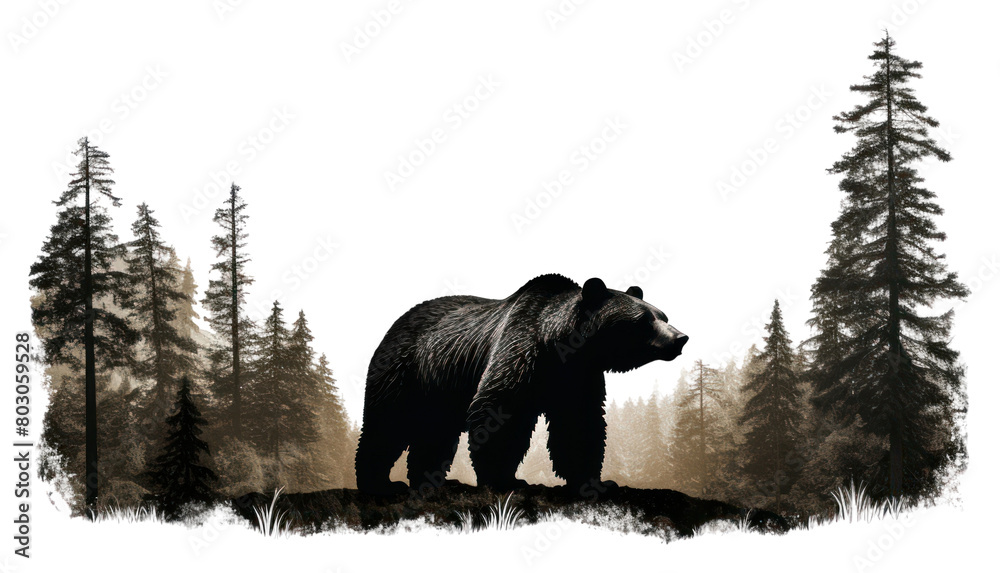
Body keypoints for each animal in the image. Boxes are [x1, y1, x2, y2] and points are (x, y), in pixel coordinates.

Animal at [354, 274, 687, 495]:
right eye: (644, 320)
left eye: (663, 314)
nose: (680, 337)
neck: (559, 345)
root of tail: (396, 322)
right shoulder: (519, 351)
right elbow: (498, 411)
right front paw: (503, 479)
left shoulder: (576, 377)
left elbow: (580, 424)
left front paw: (596, 481)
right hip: (405, 371)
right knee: (386, 425)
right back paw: (378, 483)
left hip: (439, 387)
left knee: (434, 432)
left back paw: (430, 481)